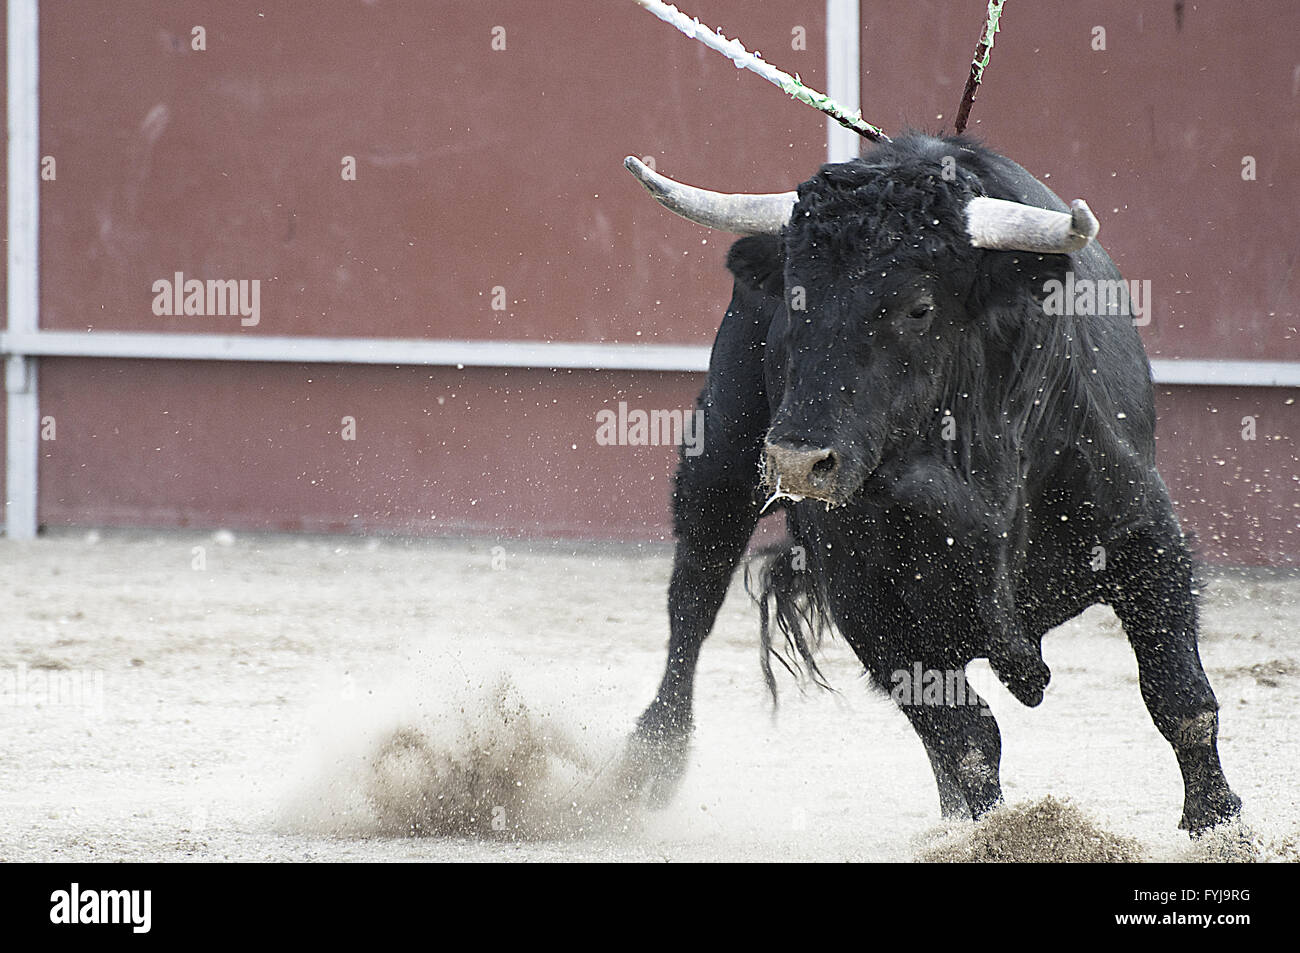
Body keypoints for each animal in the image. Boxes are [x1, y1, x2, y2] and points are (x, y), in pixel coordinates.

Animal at [620, 132, 1241, 832]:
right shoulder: (867, 599)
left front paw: (1218, 826)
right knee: (694, 599)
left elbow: (1180, 697)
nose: (797, 461)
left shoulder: (1145, 536)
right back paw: (650, 761)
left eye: (919, 308)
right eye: (792, 301)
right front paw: (987, 835)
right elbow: (964, 736)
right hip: (718, 464)